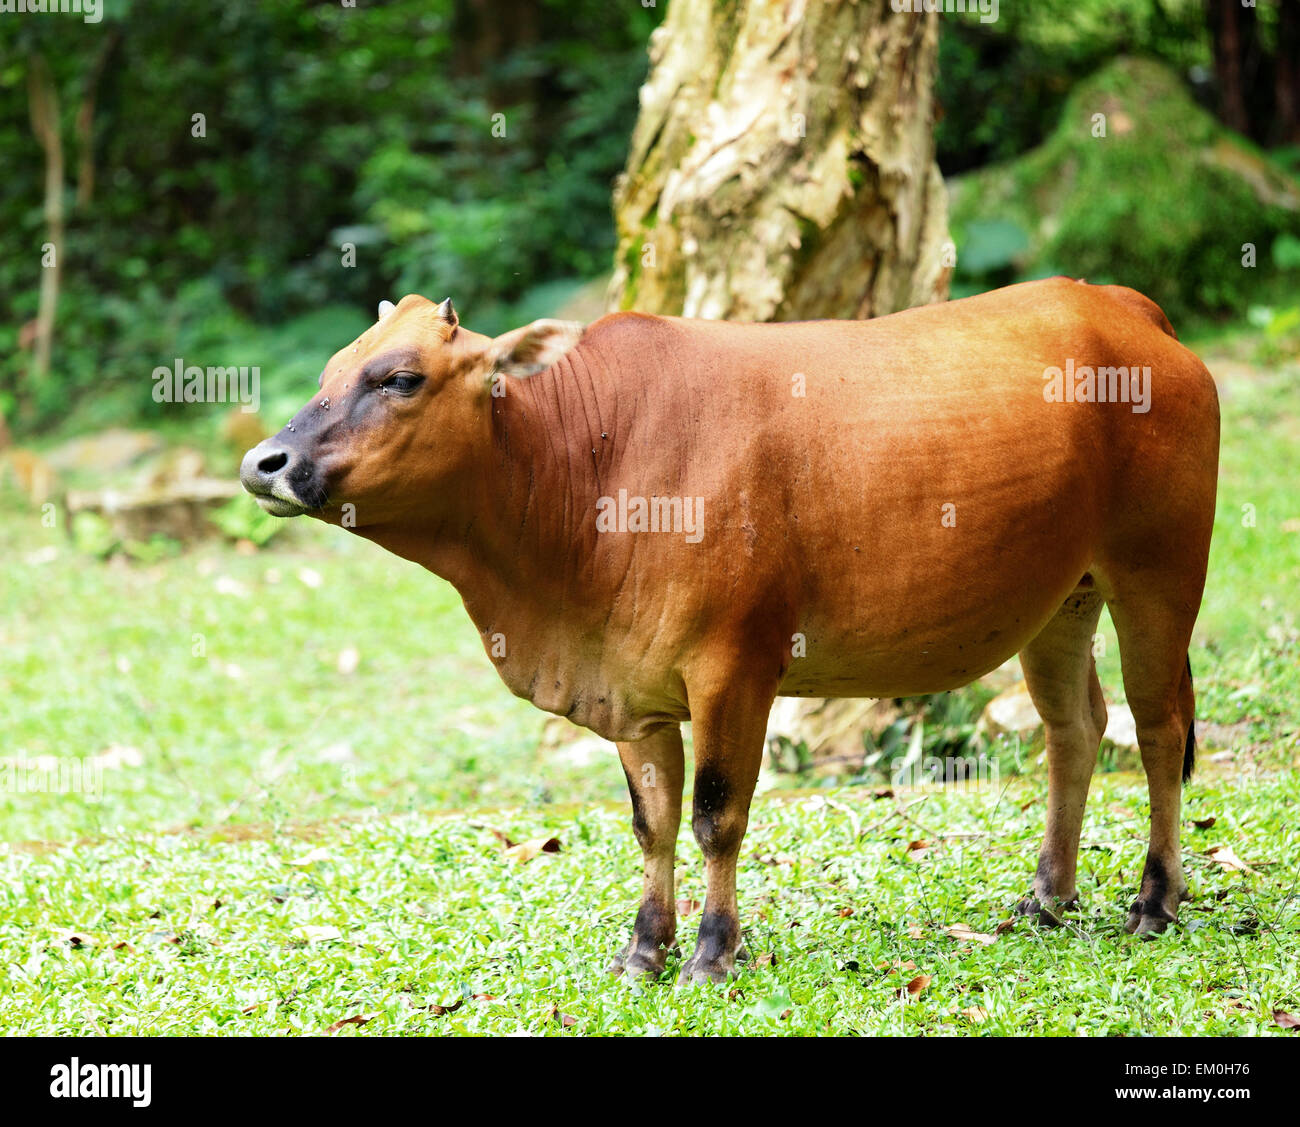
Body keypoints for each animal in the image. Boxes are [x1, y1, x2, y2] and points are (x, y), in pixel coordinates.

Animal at [240, 278, 1219, 983]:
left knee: (1159, 727)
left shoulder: (733, 667)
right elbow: (653, 822)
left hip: (1156, 574)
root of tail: (1125, 307)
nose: (263, 462)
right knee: (1075, 728)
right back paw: (1048, 894)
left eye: (400, 377)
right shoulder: (634, 693)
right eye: (333, 367)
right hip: (1062, 598)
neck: (587, 469)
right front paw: (645, 948)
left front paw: (712, 951)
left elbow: (717, 815)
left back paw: (1155, 899)